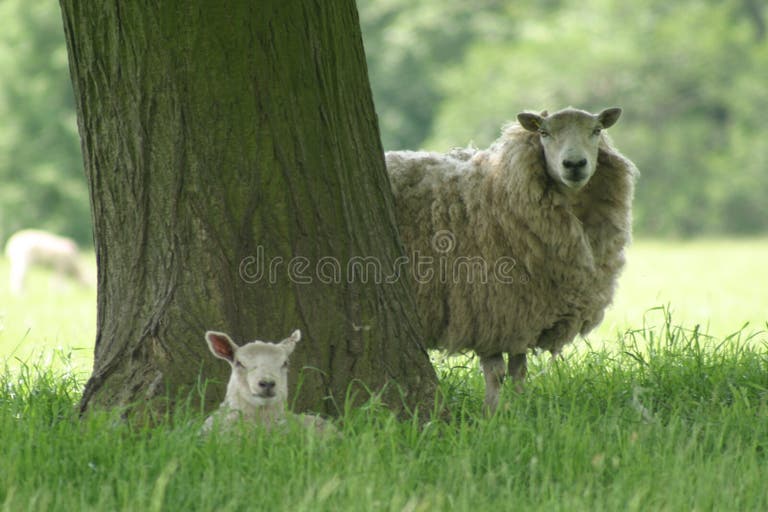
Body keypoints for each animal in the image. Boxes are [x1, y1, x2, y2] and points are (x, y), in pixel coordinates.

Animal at [386, 107, 637, 411]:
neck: (503, 189)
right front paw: (492, 413)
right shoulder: (489, 310)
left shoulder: (523, 316)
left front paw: (519, 407)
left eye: (596, 130)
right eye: (544, 133)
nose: (574, 164)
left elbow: (519, 369)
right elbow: (496, 373)